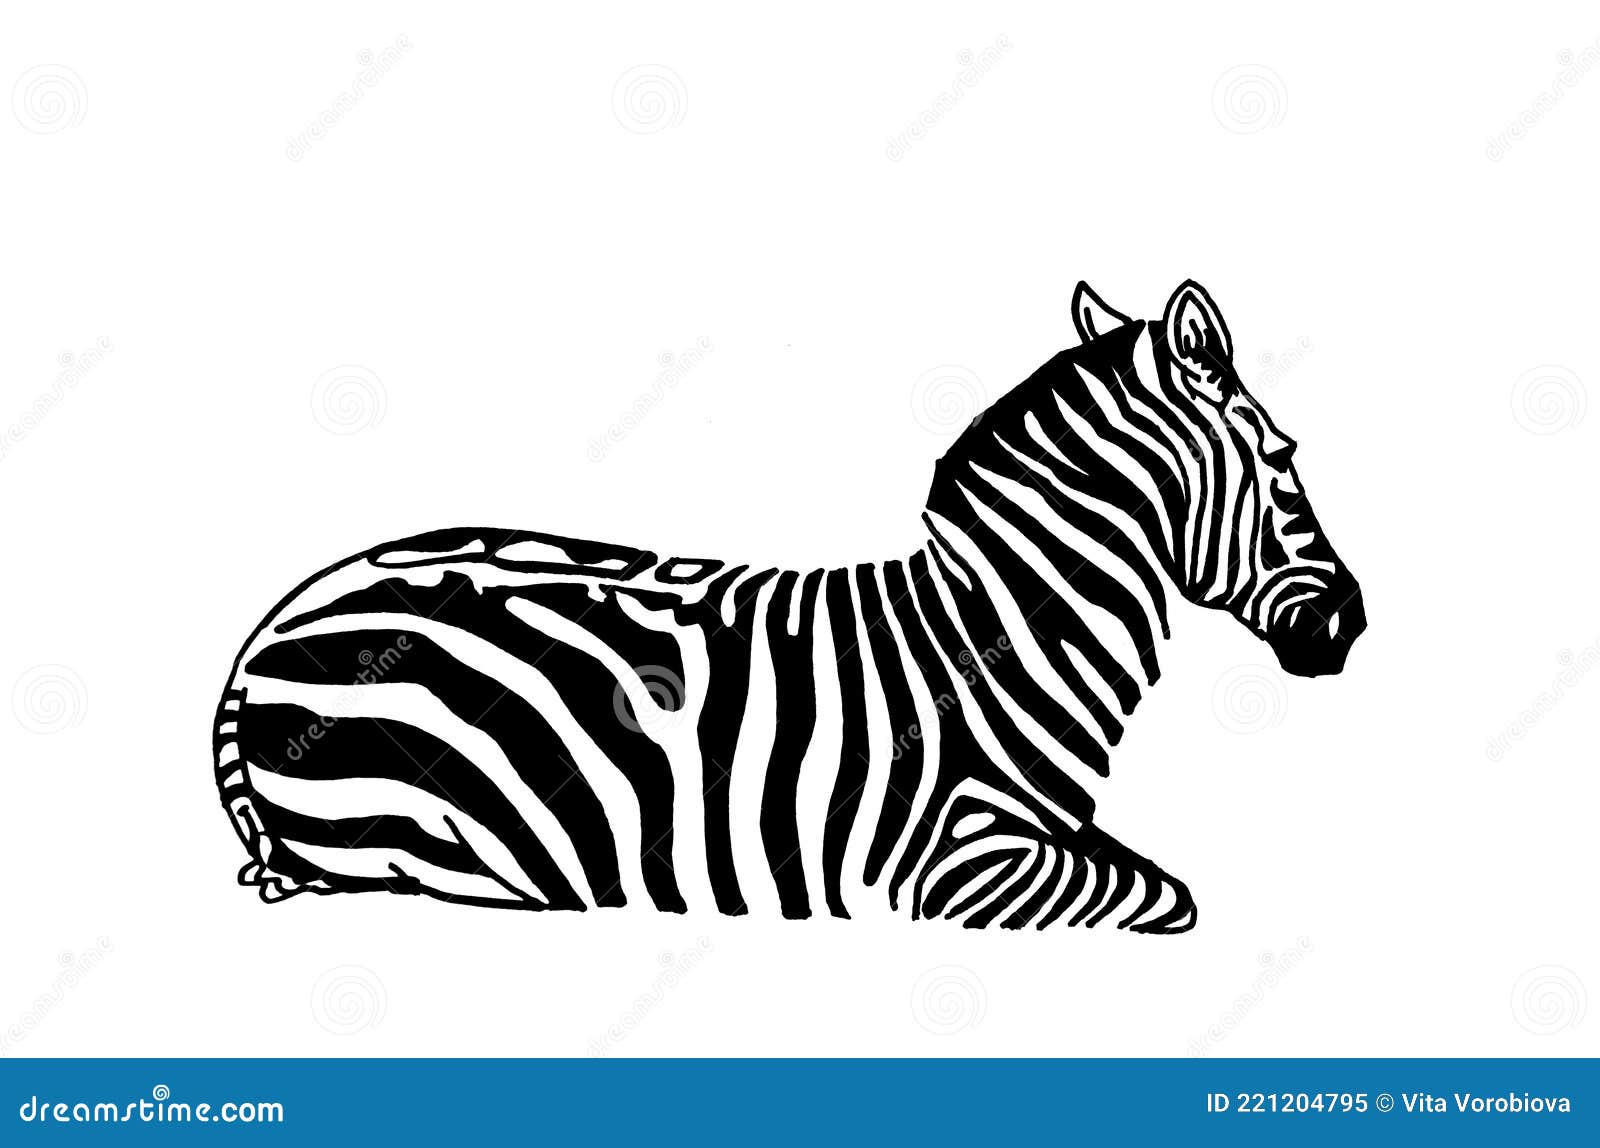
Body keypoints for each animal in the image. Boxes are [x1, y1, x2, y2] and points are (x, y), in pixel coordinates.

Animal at [212, 279, 1365, 933]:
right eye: (1284, 458)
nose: (1347, 622)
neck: (993, 639)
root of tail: (275, 623)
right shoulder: (949, 858)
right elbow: (1161, 897)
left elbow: (1152, 878)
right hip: (411, 827)